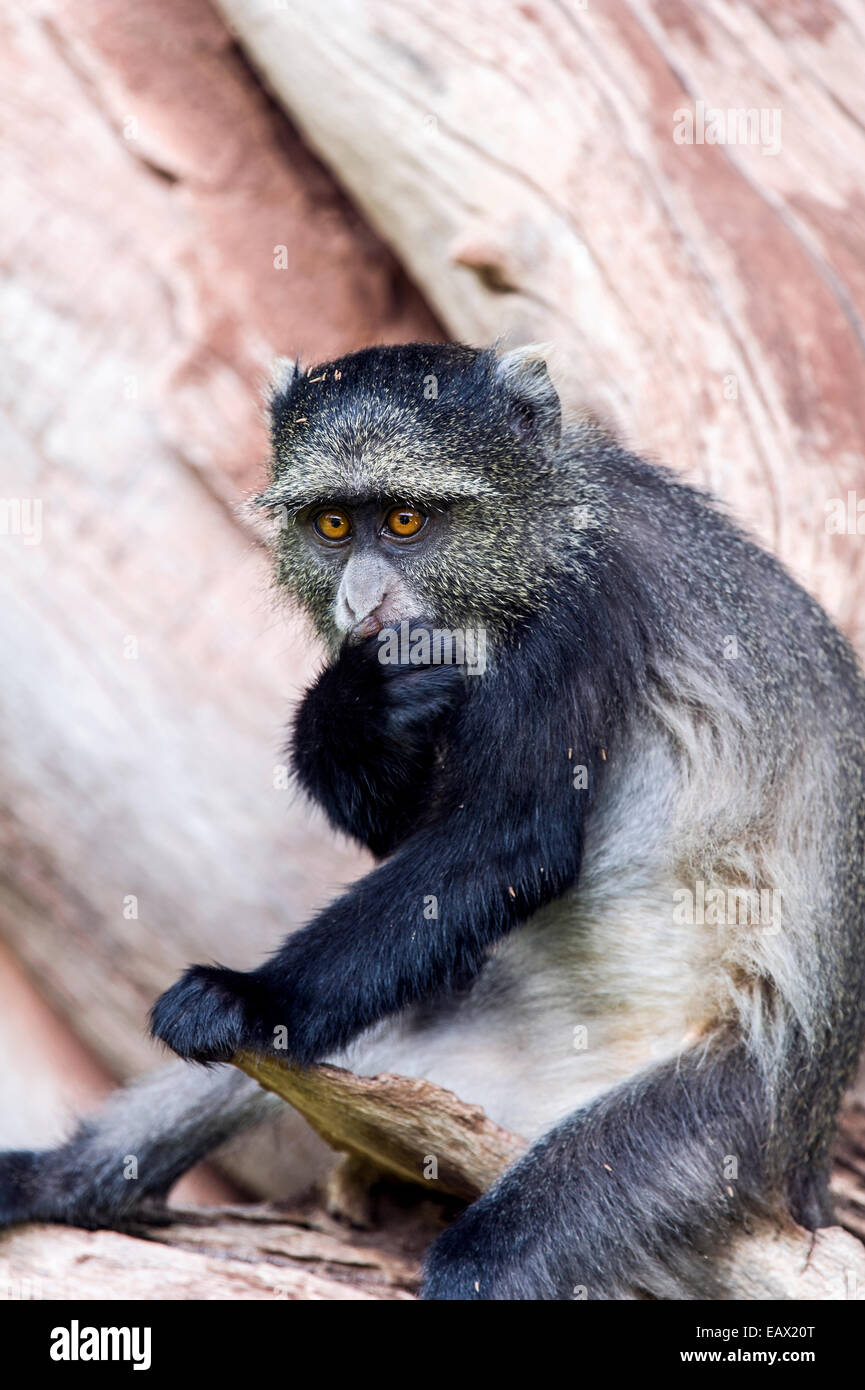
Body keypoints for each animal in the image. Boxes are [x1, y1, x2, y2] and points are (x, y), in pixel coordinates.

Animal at [2, 340, 865, 1300]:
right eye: (333, 527)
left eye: (406, 521)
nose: (363, 601)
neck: (546, 519)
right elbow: (414, 841)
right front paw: (349, 710)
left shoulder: (574, 610)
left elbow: (506, 844)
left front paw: (249, 997)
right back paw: (69, 1176)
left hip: (716, 1131)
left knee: (496, 1256)